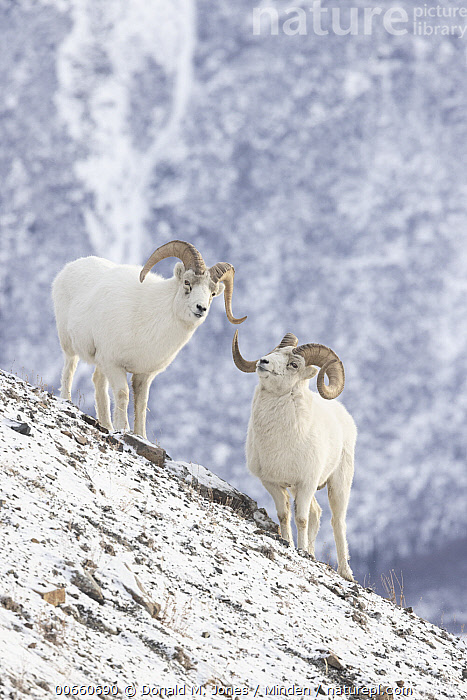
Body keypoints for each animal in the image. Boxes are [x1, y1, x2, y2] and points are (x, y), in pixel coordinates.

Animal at [52, 240, 246, 438]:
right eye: (187, 282)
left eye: (213, 293)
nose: (201, 308)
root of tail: (69, 267)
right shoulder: (114, 364)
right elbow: (123, 394)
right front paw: (123, 428)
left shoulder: (143, 375)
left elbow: (141, 404)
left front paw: (141, 436)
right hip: (69, 345)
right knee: (70, 368)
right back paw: (67, 400)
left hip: (100, 363)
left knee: (98, 382)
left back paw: (106, 424)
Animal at [232, 330, 356, 581]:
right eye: (274, 352)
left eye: (294, 364)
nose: (263, 362)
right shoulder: (273, 483)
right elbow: (284, 514)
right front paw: (289, 544)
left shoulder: (306, 483)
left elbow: (301, 518)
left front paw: (301, 551)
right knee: (317, 513)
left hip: (338, 484)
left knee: (337, 522)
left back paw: (345, 573)